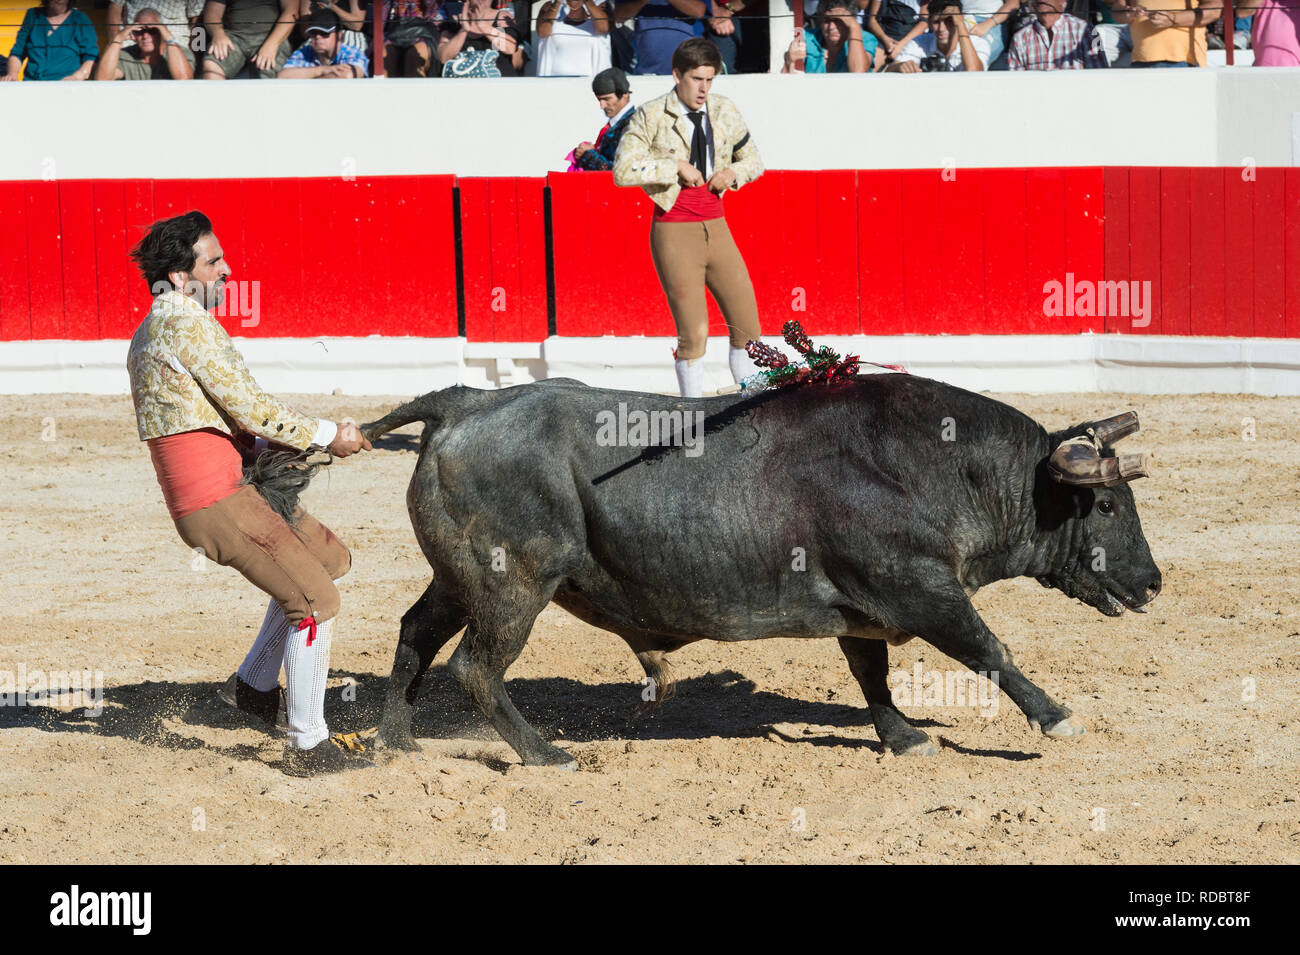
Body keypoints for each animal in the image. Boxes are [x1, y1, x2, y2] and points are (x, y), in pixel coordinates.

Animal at [353, 374, 1161, 767]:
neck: (935, 465)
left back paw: (396, 742)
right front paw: (1057, 718)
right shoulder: (922, 591)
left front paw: (903, 738)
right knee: (476, 667)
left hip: (460, 581)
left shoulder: (866, 605)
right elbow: (990, 649)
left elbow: (871, 673)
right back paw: (546, 754)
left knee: (416, 633)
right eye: (1107, 505)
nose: (1153, 582)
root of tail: (463, 404)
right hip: (515, 584)